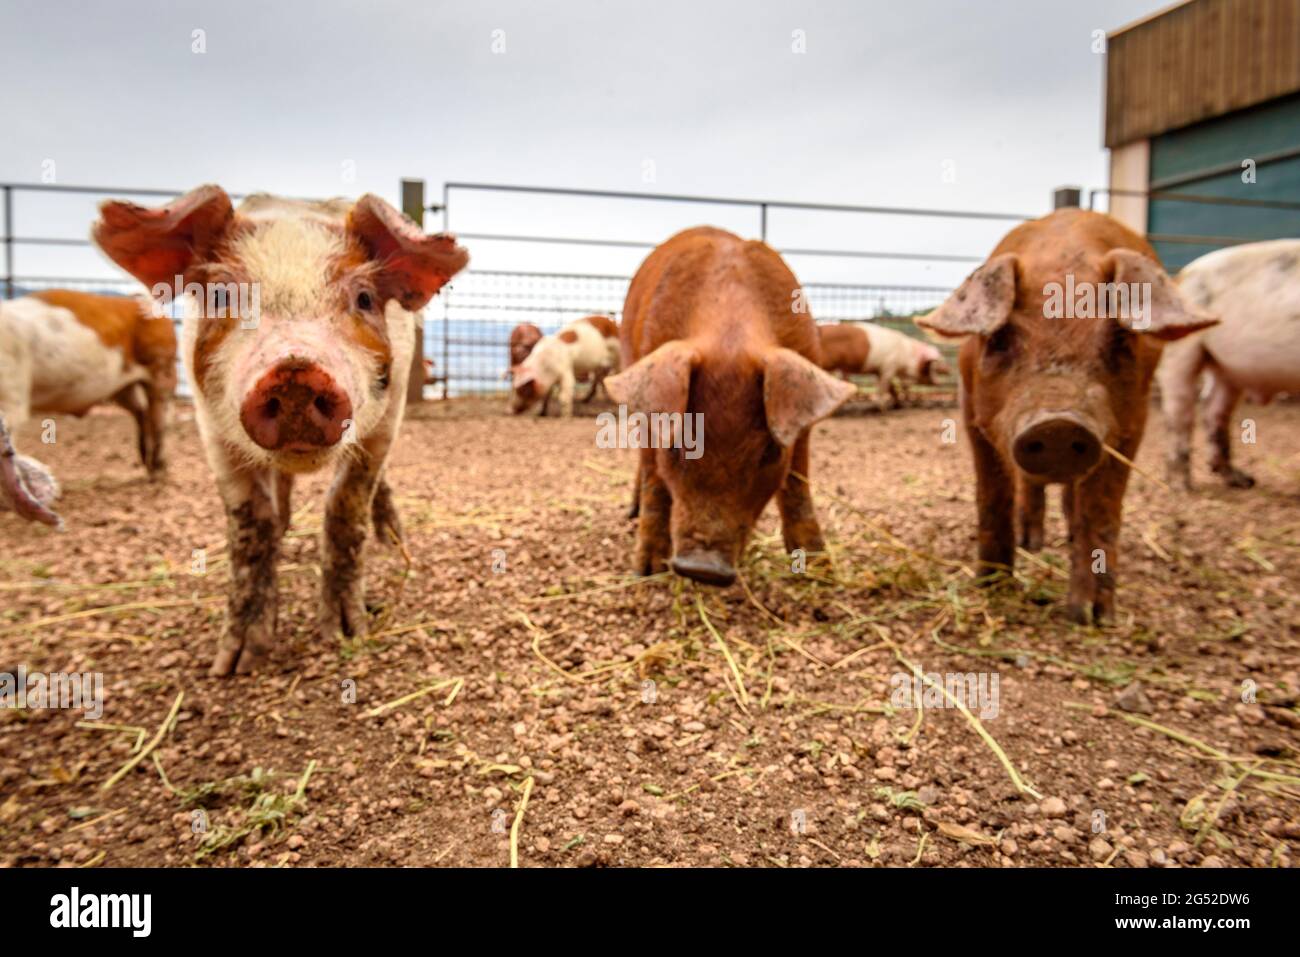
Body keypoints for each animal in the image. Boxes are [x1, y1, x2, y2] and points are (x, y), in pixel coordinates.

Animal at [0, 289, 177, 479]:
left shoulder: (12, 401)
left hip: (161, 370)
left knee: (158, 419)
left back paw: (159, 472)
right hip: (122, 388)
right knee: (142, 412)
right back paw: (148, 465)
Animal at [93, 185, 468, 675]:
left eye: (365, 299)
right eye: (220, 296)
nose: (295, 370)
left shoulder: (391, 412)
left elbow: (345, 506)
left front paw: (345, 632)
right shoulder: (212, 429)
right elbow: (251, 525)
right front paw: (235, 663)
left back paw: (392, 542)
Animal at [606, 226, 857, 586]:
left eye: (769, 453)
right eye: (675, 447)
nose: (703, 568)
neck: (730, 332)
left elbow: (797, 484)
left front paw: (820, 568)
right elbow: (655, 482)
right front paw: (646, 572)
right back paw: (632, 515)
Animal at [917, 209, 1217, 624]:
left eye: (1119, 338)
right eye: (999, 339)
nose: (1057, 424)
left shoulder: (1132, 426)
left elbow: (1103, 508)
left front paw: (1092, 616)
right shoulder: (972, 415)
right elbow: (992, 496)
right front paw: (991, 586)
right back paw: (1031, 543)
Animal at [1158, 239, 1300, 489]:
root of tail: (1182, 276)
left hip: (1227, 369)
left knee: (1213, 407)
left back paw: (1242, 480)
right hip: (1183, 348)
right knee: (1179, 410)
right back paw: (1181, 485)